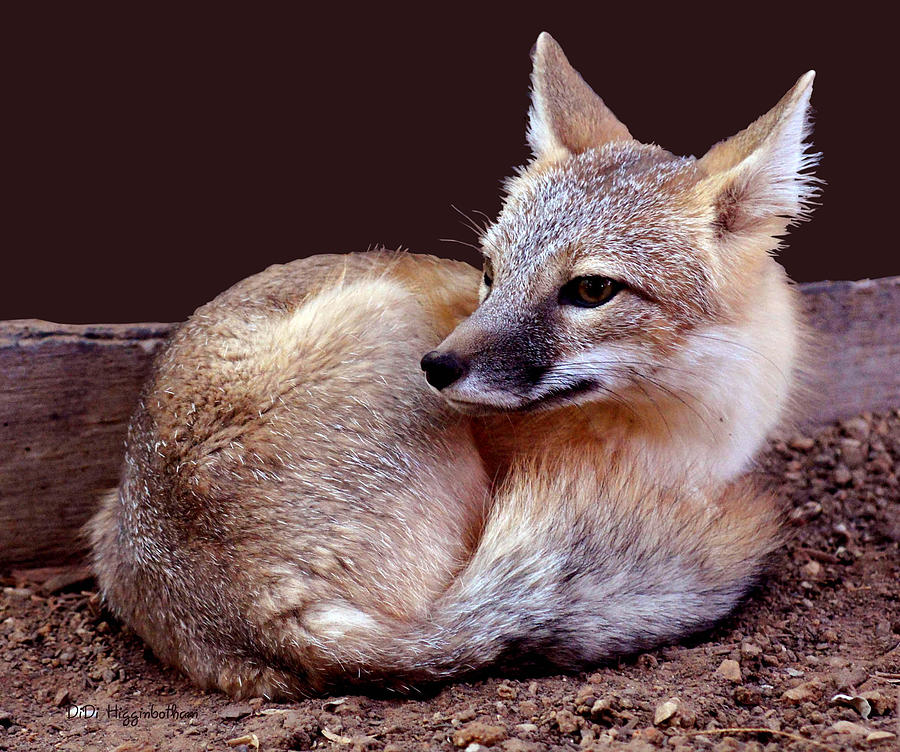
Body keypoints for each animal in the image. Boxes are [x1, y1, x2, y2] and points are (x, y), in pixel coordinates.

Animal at [88, 32, 818, 699]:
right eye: (492, 272)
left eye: (592, 290)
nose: (435, 367)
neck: (689, 430)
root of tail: (267, 619)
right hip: (388, 311)